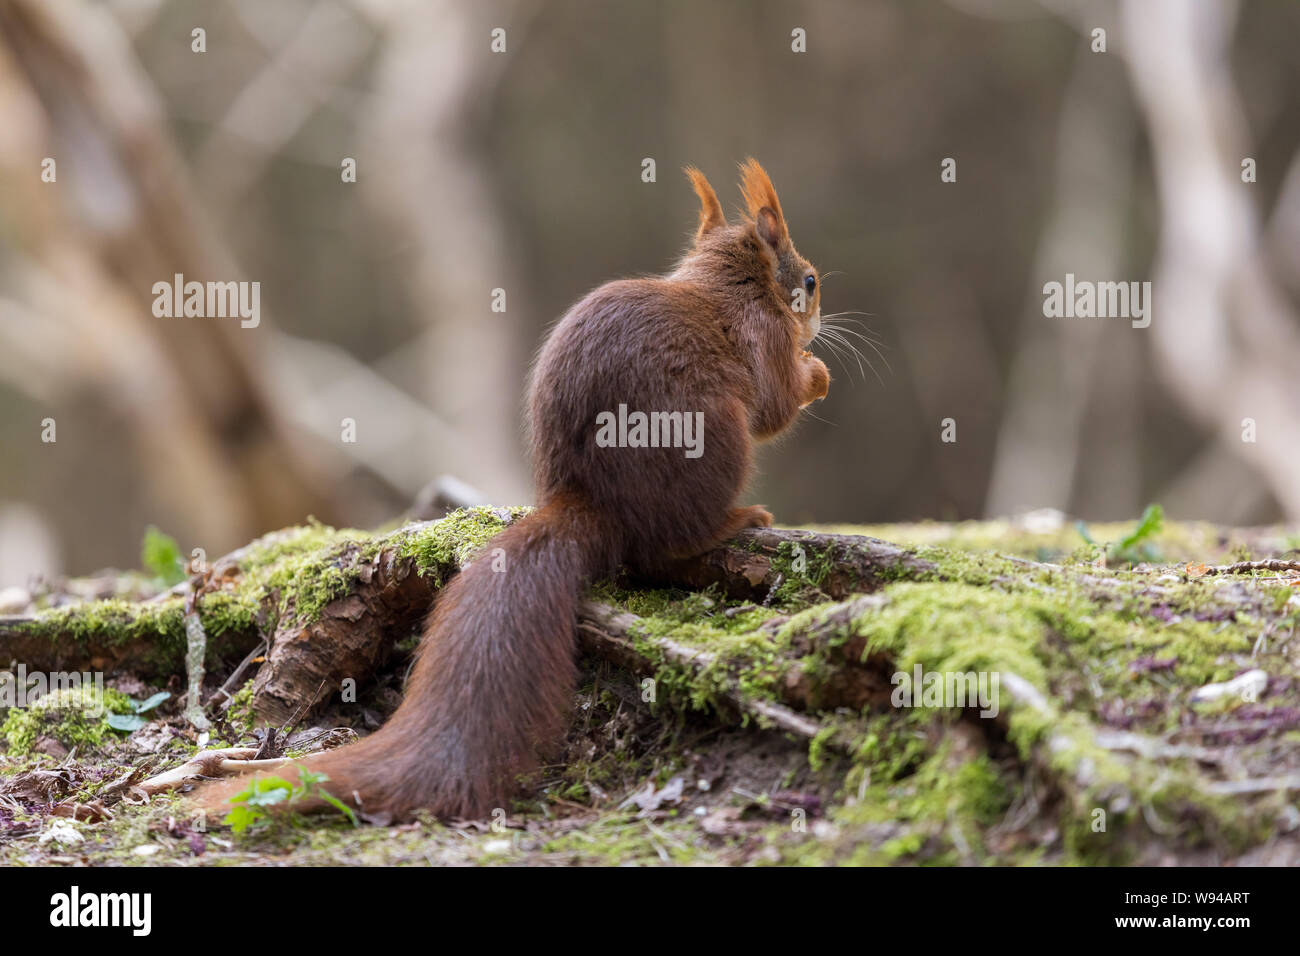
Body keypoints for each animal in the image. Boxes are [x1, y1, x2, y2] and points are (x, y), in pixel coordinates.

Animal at [197, 159, 830, 822]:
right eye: (810, 281)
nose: (818, 322)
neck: (731, 285)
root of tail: (595, 507)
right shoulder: (763, 338)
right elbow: (777, 404)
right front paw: (817, 375)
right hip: (715, 439)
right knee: (669, 547)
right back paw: (737, 519)